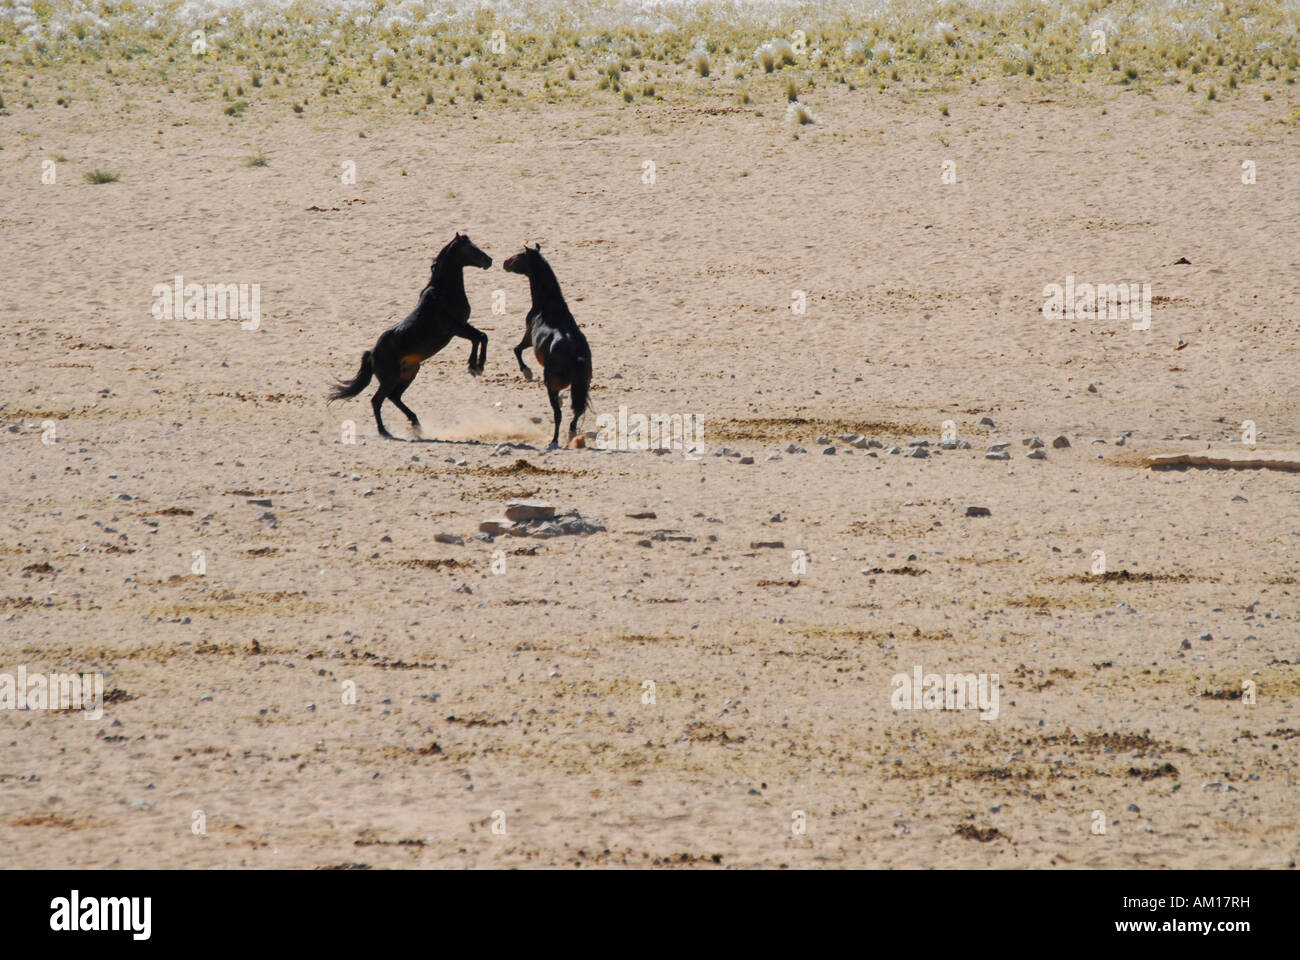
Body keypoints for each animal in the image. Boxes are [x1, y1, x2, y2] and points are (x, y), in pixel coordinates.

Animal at [328, 233, 492, 439]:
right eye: (471, 248)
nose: (489, 260)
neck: (444, 292)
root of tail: (372, 354)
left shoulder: (463, 326)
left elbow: (483, 336)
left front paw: (478, 366)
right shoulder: (455, 329)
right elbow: (477, 338)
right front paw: (474, 367)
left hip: (409, 372)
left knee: (394, 397)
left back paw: (416, 424)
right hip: (391, 378)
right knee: (377, 400)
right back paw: (384, 431)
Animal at [503, 244, 593, 448]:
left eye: (519, 256)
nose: (505, 262)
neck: (548, 305)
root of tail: (576, 355)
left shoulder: (528, 338)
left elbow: (516, 349)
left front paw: (527, 372)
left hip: (551, 385)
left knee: (558, 414)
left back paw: (554, 440)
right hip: (579, 386)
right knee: (576, 412)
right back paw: (571, 435)